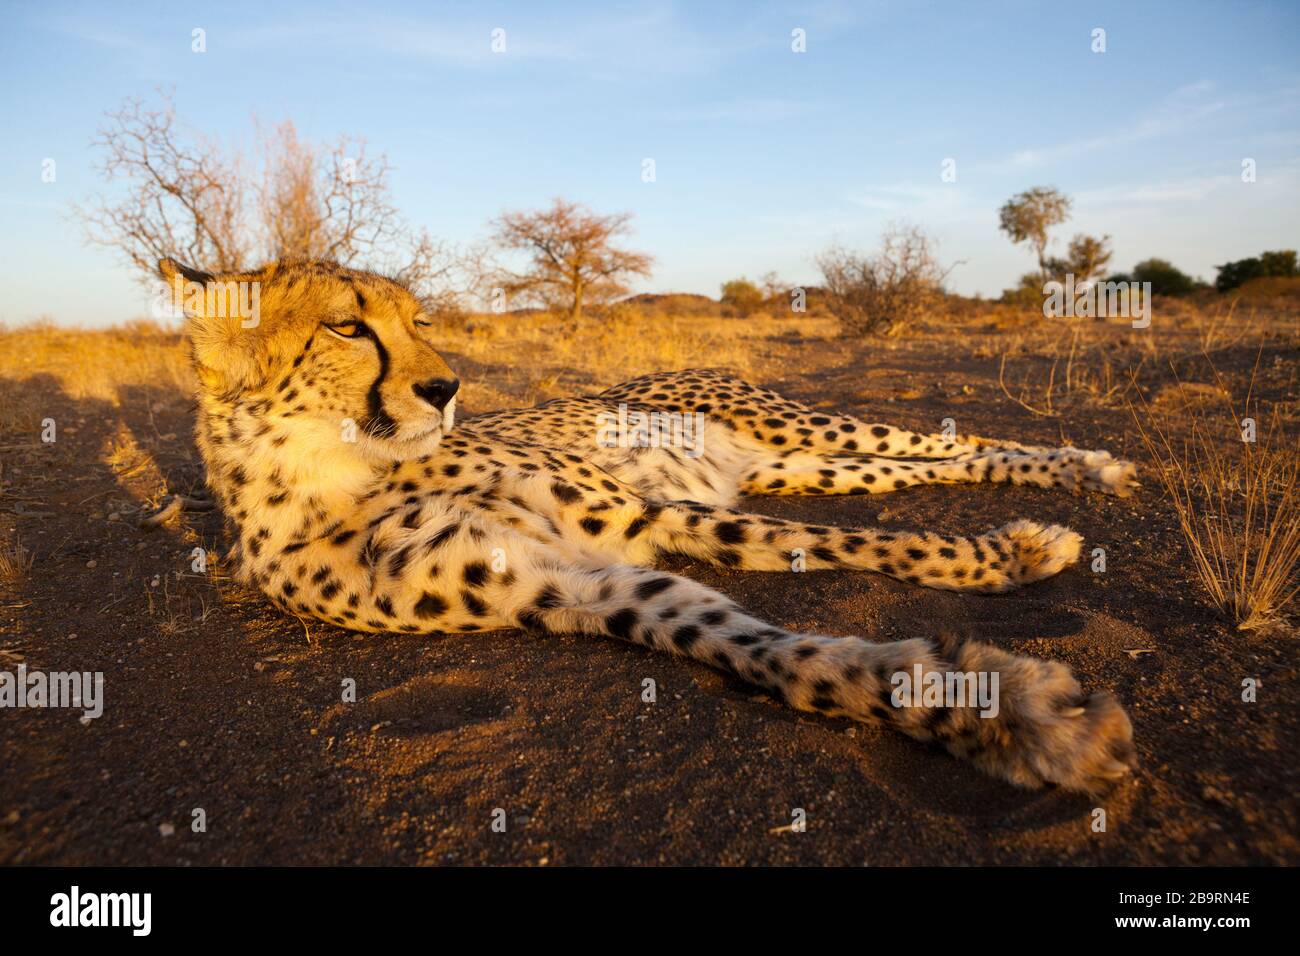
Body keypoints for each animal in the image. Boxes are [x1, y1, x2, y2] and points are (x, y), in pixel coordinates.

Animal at [161, 255, 1138, 794]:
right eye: (346, 327)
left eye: (418, 320)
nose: (446, 389)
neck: (340, 473)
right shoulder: (572, 581)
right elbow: (759, 642)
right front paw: (993, 713)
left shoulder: (640, 513)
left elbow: (847, 545)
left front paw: (1005, 565)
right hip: (800, 466)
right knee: (915, 469)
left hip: (806, 430)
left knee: (951, 440)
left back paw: (1081, 471)